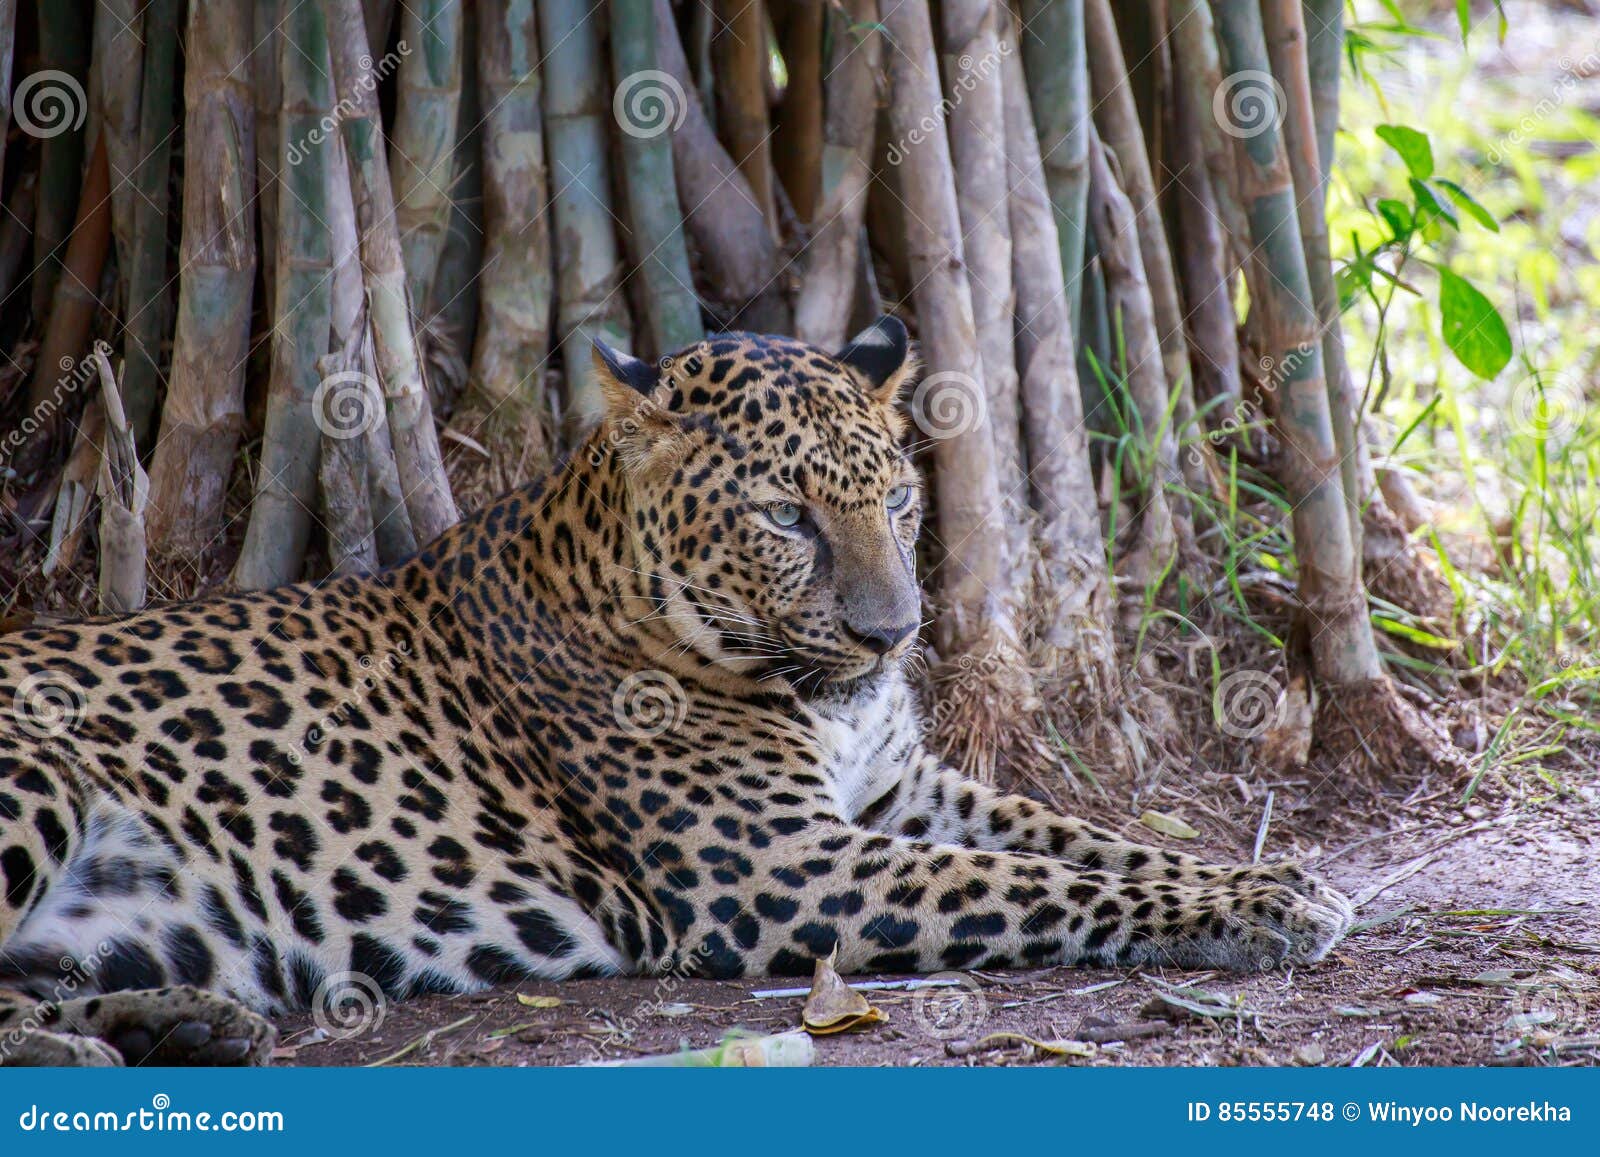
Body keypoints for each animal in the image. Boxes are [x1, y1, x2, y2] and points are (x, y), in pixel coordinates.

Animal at [0, 317, 1354, 1065]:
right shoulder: (781, 865)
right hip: (38, 772)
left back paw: (178, 1024)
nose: (892, 632)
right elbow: (1031, 883)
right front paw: (1263, 900)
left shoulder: (896, 789)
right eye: (785, 516)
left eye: (898, 499)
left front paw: (1269, 879)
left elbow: (1078, 839)